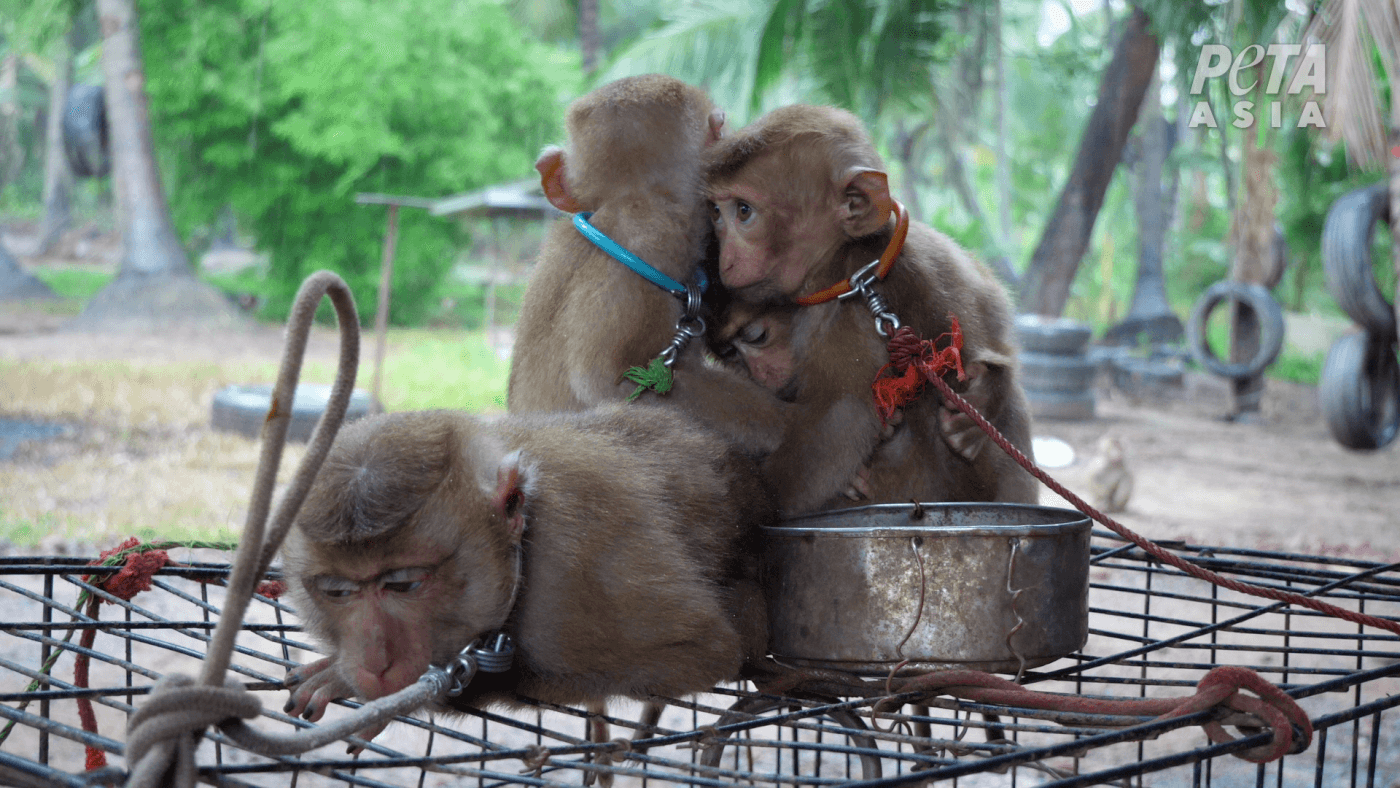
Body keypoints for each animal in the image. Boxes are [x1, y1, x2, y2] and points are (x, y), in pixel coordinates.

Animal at [703, 104, 1038, 515]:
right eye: (716, 213)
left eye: (744, 211)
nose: (727, 260)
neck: (852, 269)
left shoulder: (866, 298)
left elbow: (841, 425)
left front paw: (767, 499)